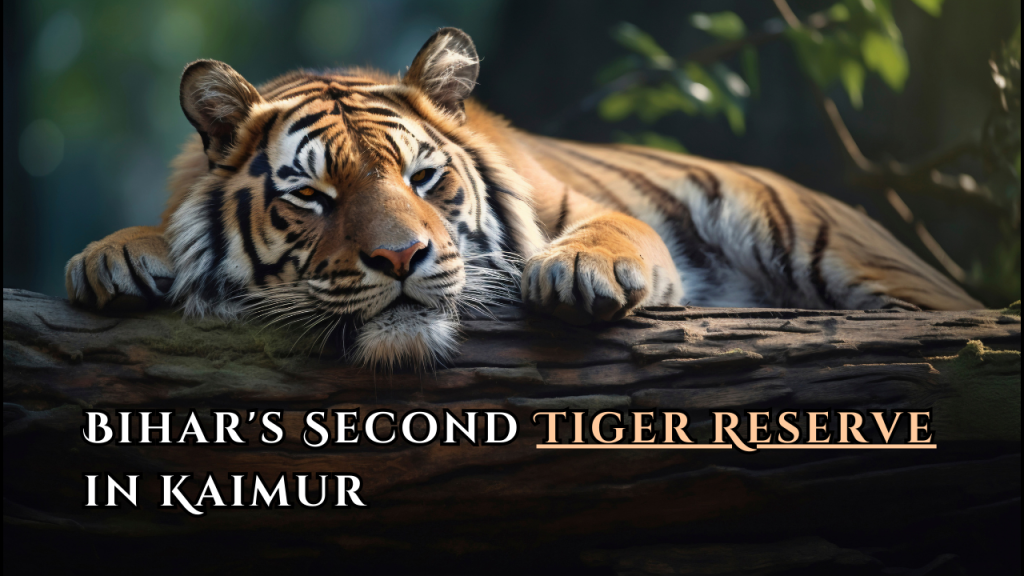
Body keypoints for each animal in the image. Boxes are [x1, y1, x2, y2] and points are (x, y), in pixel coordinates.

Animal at [65, 27, 982, 370]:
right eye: (314, 196)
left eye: (424, 179)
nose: (401, 257)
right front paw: (114, 256)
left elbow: (618, 227)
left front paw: (578, 271)